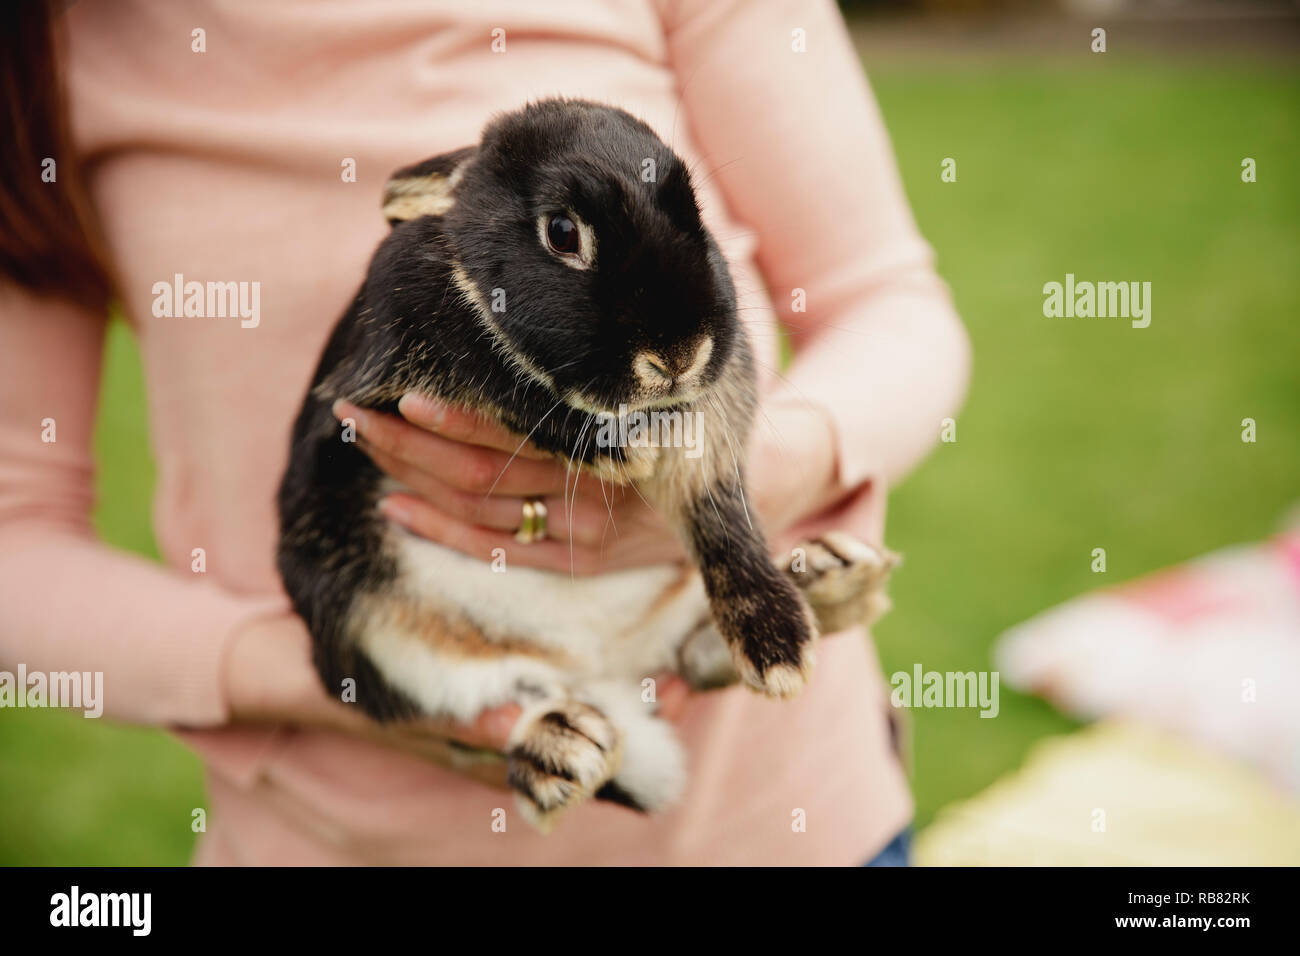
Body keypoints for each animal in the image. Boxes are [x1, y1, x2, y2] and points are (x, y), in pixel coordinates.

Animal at [276, 99, 896, 829]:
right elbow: (511, 386)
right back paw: (563, 748)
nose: (679, 354)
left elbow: (721, 518)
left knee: (693, 656)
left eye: (697, 216)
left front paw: (779, 651)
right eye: (563, 233)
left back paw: (831, 581)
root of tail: (609, 666)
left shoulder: (714, 423)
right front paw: (620, 447)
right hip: (361, 619)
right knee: (489, 699)